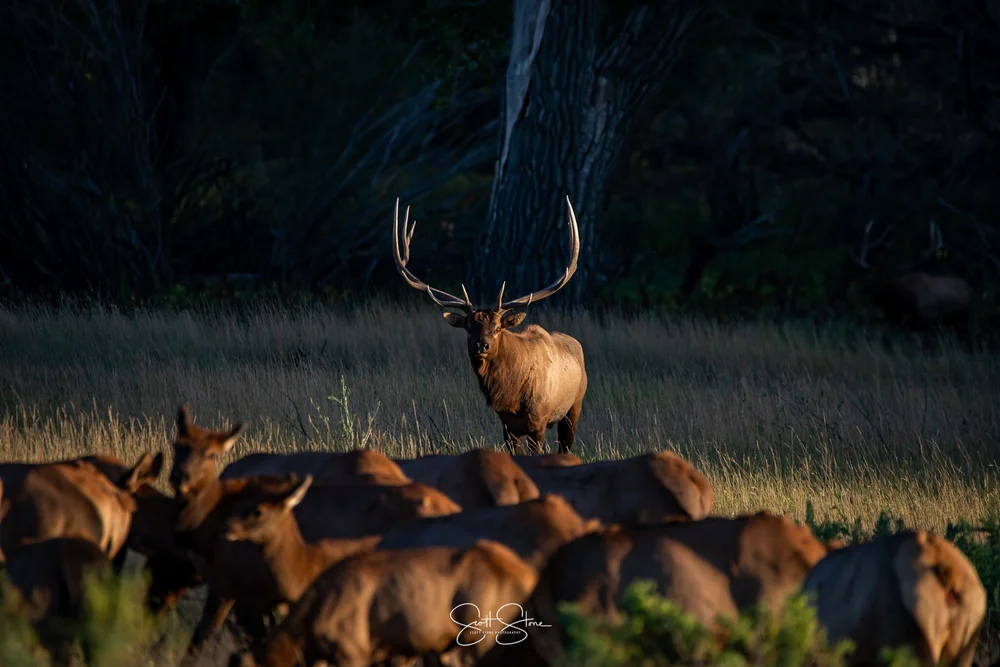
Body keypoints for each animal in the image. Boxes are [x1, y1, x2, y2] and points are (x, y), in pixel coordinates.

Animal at [392, 196, 587, 456]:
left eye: (496, 328)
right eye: (468, 327)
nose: (481, 346)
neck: (511, 397)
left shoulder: (538, 421)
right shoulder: (507, 426)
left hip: (574, 406)